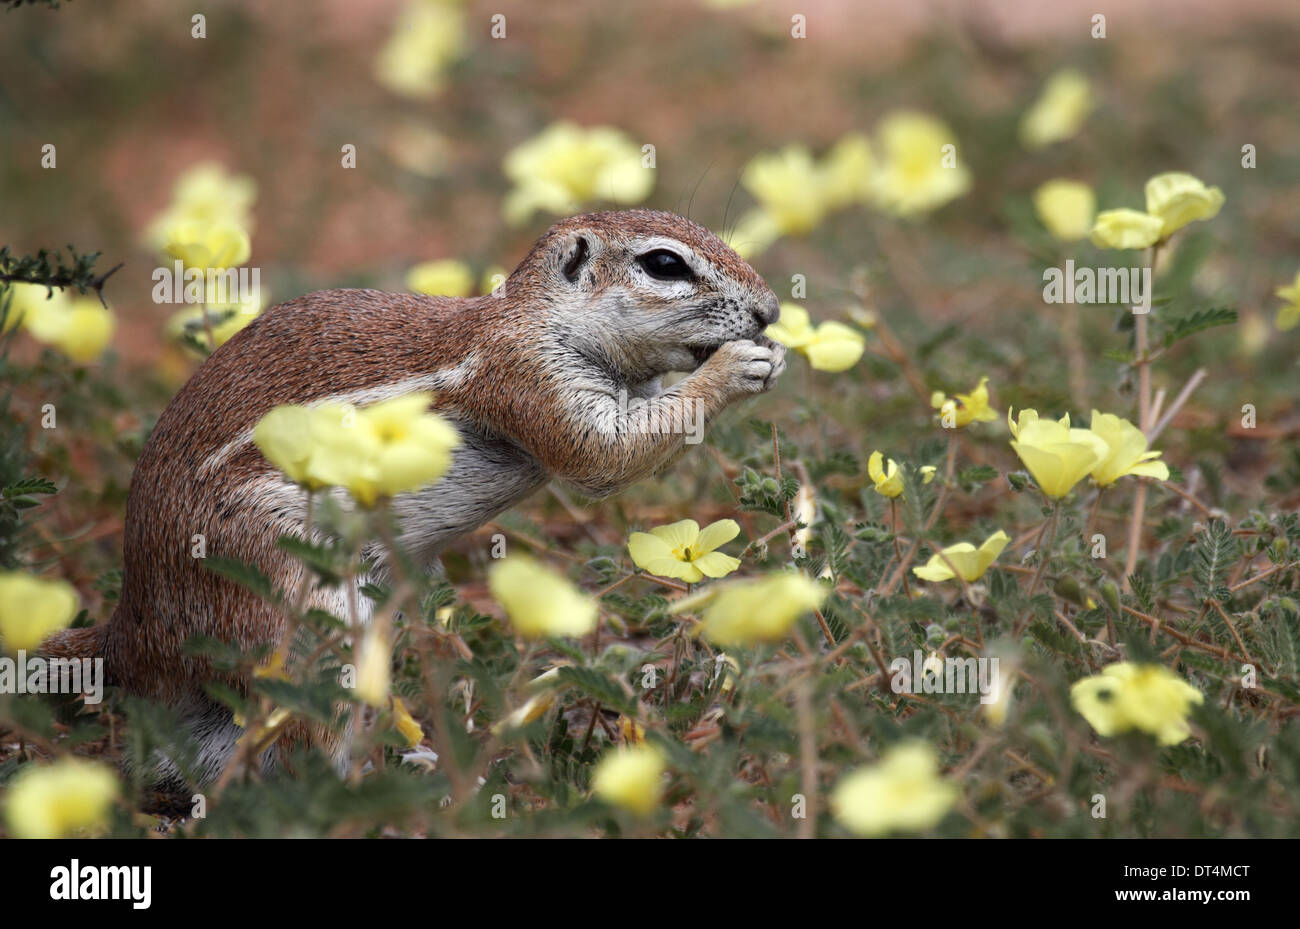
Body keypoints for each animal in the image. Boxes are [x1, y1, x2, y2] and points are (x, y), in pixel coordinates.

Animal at [41, 209, 786, 785]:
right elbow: (603, 454)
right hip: (293, 602)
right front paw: (739, 365)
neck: (537, 318)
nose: (771, 311)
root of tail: (134, 631)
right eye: (664, 264)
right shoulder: (530, 377)